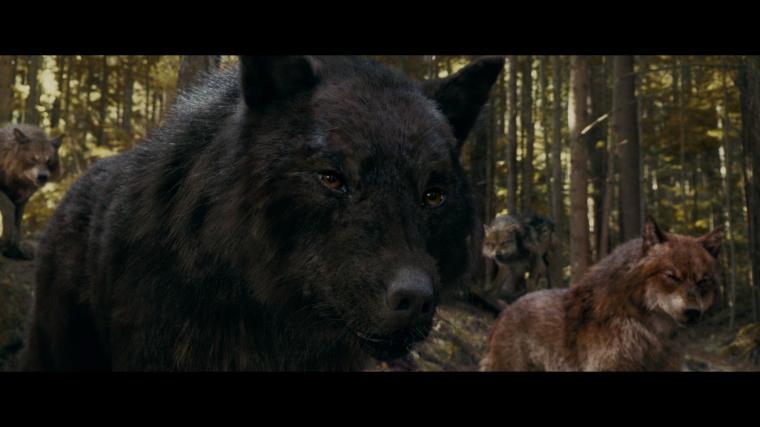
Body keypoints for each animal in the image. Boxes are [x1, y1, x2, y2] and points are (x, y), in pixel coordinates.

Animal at [0, 125, 62, 259]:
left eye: (49, 161)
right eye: (33, 159)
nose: (42, 177)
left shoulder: (21, 201)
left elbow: (18, 224)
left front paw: (13, 250)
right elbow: (9, 207)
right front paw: (7, 239)